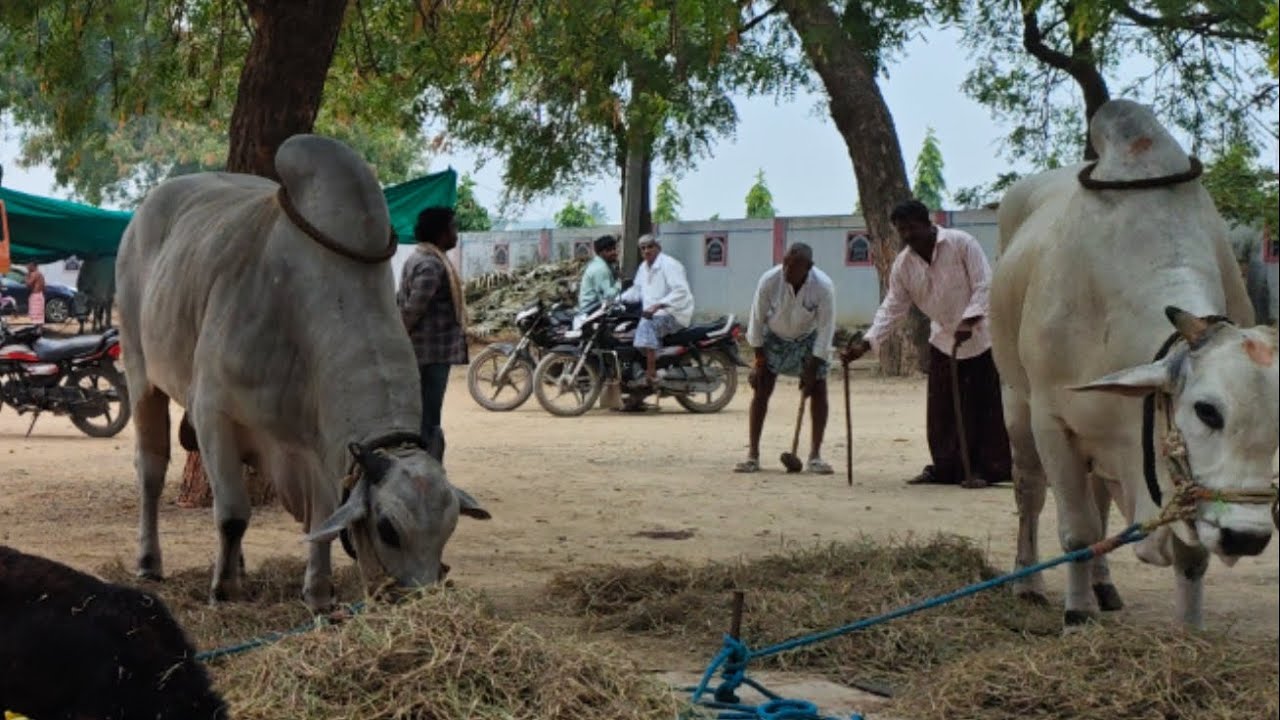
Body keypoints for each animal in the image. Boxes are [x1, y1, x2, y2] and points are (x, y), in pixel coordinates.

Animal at [115, 134, 491, 614]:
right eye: (388, 528)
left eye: (450, 527)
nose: (417, 602)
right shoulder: (213, 412)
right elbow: (233, 514)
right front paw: (224, 590)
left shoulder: (321, 446)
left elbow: (321, 523)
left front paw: (318, 594)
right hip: (140, 371)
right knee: (151, 472)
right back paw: (151, 561)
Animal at [990, 98, 1279, 629]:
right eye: (1207, 411)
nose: (1246, 537)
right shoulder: (1052, 421)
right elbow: (1076, 530)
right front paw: (1076, 614)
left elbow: (1190, 556)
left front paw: (1189, 629)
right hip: (1016, 406)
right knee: (1030, 494)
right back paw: (1029, 583)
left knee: (1102, 500)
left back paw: (1104, 585)